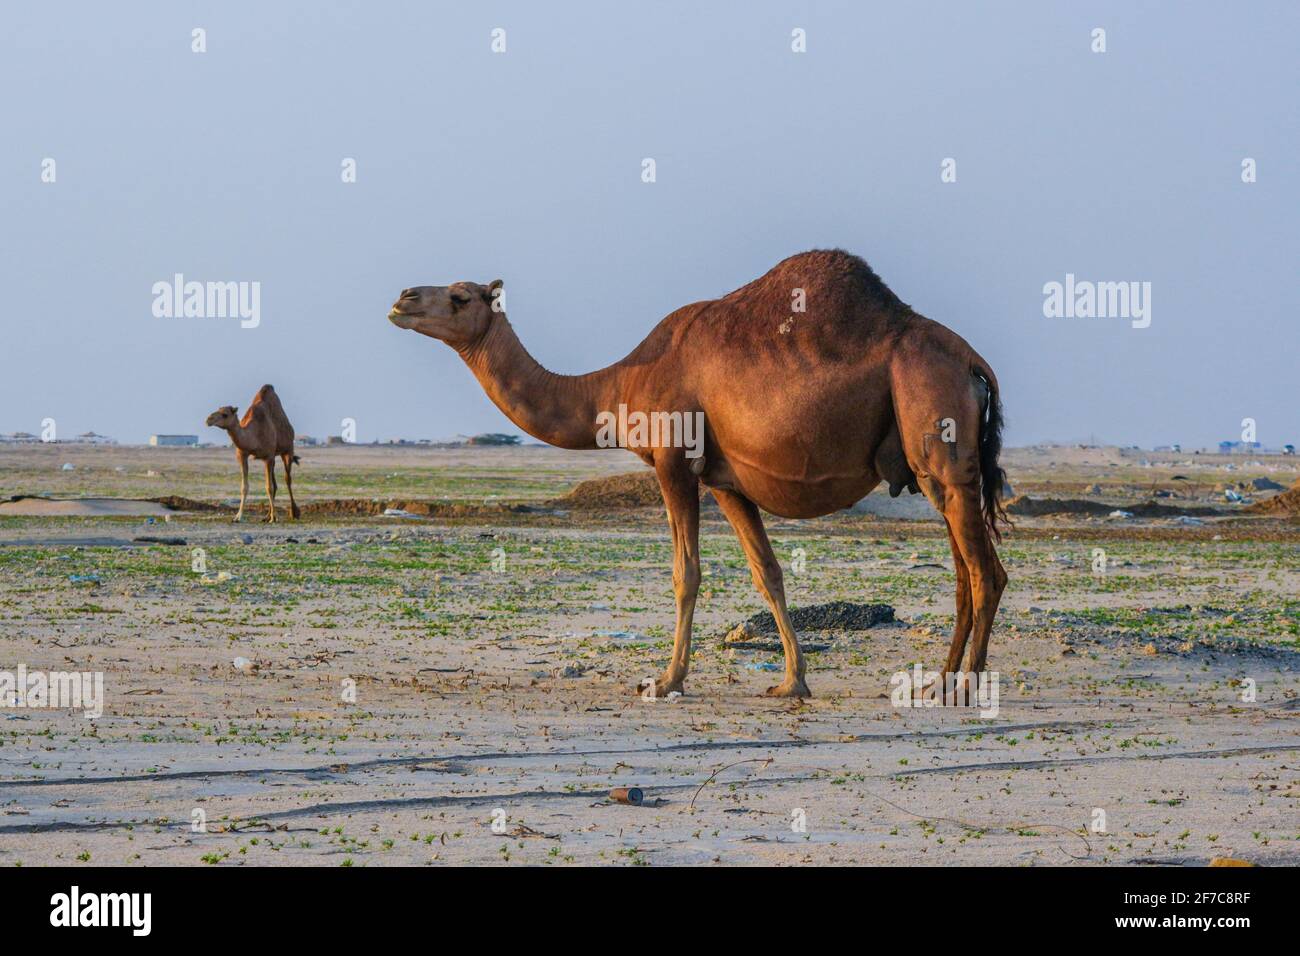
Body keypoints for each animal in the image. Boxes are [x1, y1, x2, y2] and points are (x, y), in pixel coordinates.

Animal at [205, 384, 301, 523]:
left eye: (225, 414)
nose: (208, 419)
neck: (254, 434)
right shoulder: (242, 455)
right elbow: (245, 487)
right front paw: (238, 516)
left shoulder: (268, 456)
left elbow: (269, 487)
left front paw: (274, 518)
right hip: (274, 458)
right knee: (275, 483)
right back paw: (266, 516)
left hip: (288, 450)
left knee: (287, 479)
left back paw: (294, 513)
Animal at [388, 250, 1008, 699]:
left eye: (460, 296)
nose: (401, 297)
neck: (616, 386)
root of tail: (974, 361)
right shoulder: (725, 480)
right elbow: (767, 573)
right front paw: (792, 681)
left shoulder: (674, 460)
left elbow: (685, 574)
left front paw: (666, 680)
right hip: (933, 466)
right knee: (963, 570)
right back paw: (940, 678)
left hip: (934, 420)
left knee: (986, 571)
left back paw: (967, 684)